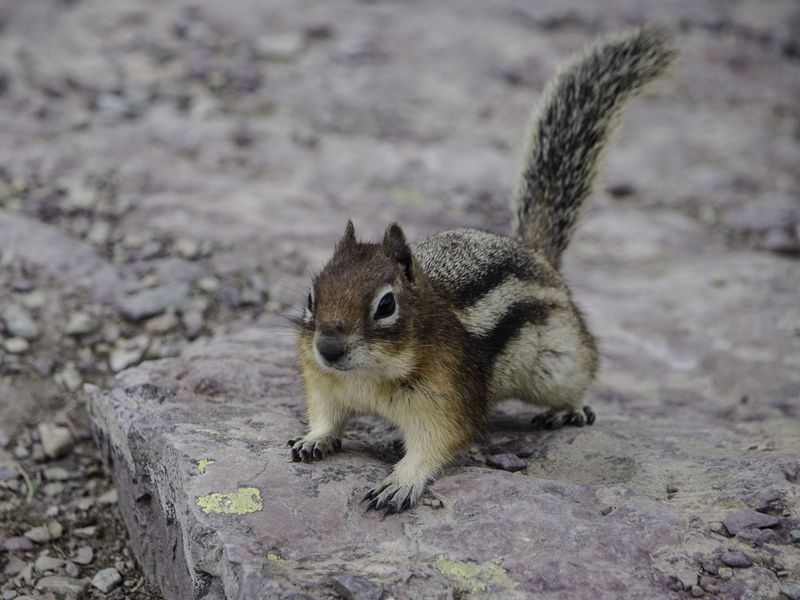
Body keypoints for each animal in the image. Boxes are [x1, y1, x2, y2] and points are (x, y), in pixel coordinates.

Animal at [289, 26, 676, 514]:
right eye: (311, 297)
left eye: (386, 305)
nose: (328, 348)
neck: (369, 376)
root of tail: (536, 255)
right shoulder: (323, 383)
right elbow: (325, 415)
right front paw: (314, 439)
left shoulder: (447, 399)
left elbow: (437, 443)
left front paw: (401, 481)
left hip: (558, 365)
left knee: (580, 378)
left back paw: (568, 409)